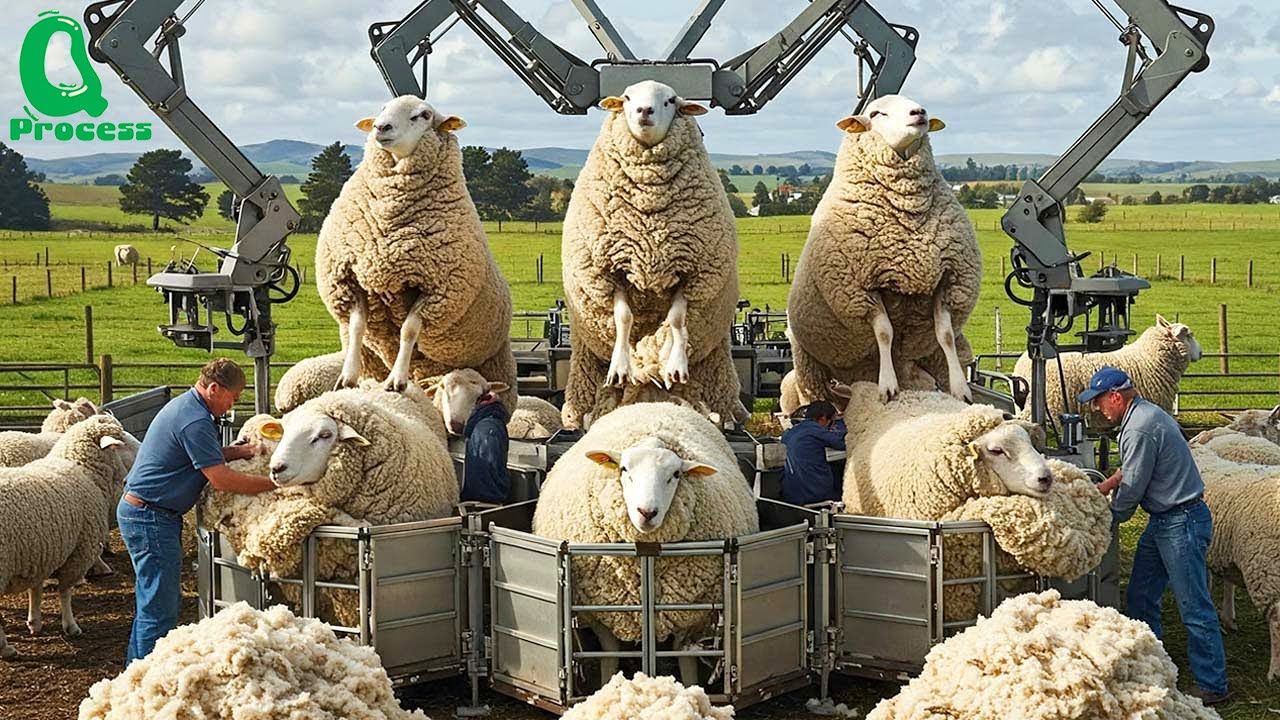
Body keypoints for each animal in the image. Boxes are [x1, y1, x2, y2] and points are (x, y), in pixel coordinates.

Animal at [0, 415, 132, 658]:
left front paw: (35, 621)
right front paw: (70, 625)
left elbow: (36, 587)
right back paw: (5, 646)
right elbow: (65, 591)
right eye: (121, 443)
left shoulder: (43, 551)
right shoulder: (79, 550)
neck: (83, 471)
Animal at [315, 95, 517, 413]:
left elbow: (408, 331)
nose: (380, 127)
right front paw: (348, 377)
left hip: (494, 362)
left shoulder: (436, 291)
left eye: (423, 115)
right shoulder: (353, 278)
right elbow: (359, 326)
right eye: (383, 109)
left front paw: (396, 381)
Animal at [532, 402, 759, 686]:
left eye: (676, 474)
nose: (647, 512)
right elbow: (609, 655)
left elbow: (684, 657)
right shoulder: (603, 611)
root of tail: (654, 403)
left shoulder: (687, 611)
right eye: (624, 469)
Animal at [560, 80, 746, 429]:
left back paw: (726, 412)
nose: (644, 111)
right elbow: (623, 317)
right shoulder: (611, 271)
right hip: (584, 351)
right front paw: (620, 367)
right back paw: (581, 413)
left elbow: (676, 319)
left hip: (716, 354)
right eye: (627, 97)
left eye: (670, 100)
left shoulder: (693, 273)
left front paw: (675, 365)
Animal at [787, 94, 980, 407]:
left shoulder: (945, 279)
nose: (919, 113)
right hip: (808, 364)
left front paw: (960, 388)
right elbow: (884, 333)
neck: (909, 210)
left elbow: (946, 335)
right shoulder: (862, 289)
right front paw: (888, 387)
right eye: (877, 113)